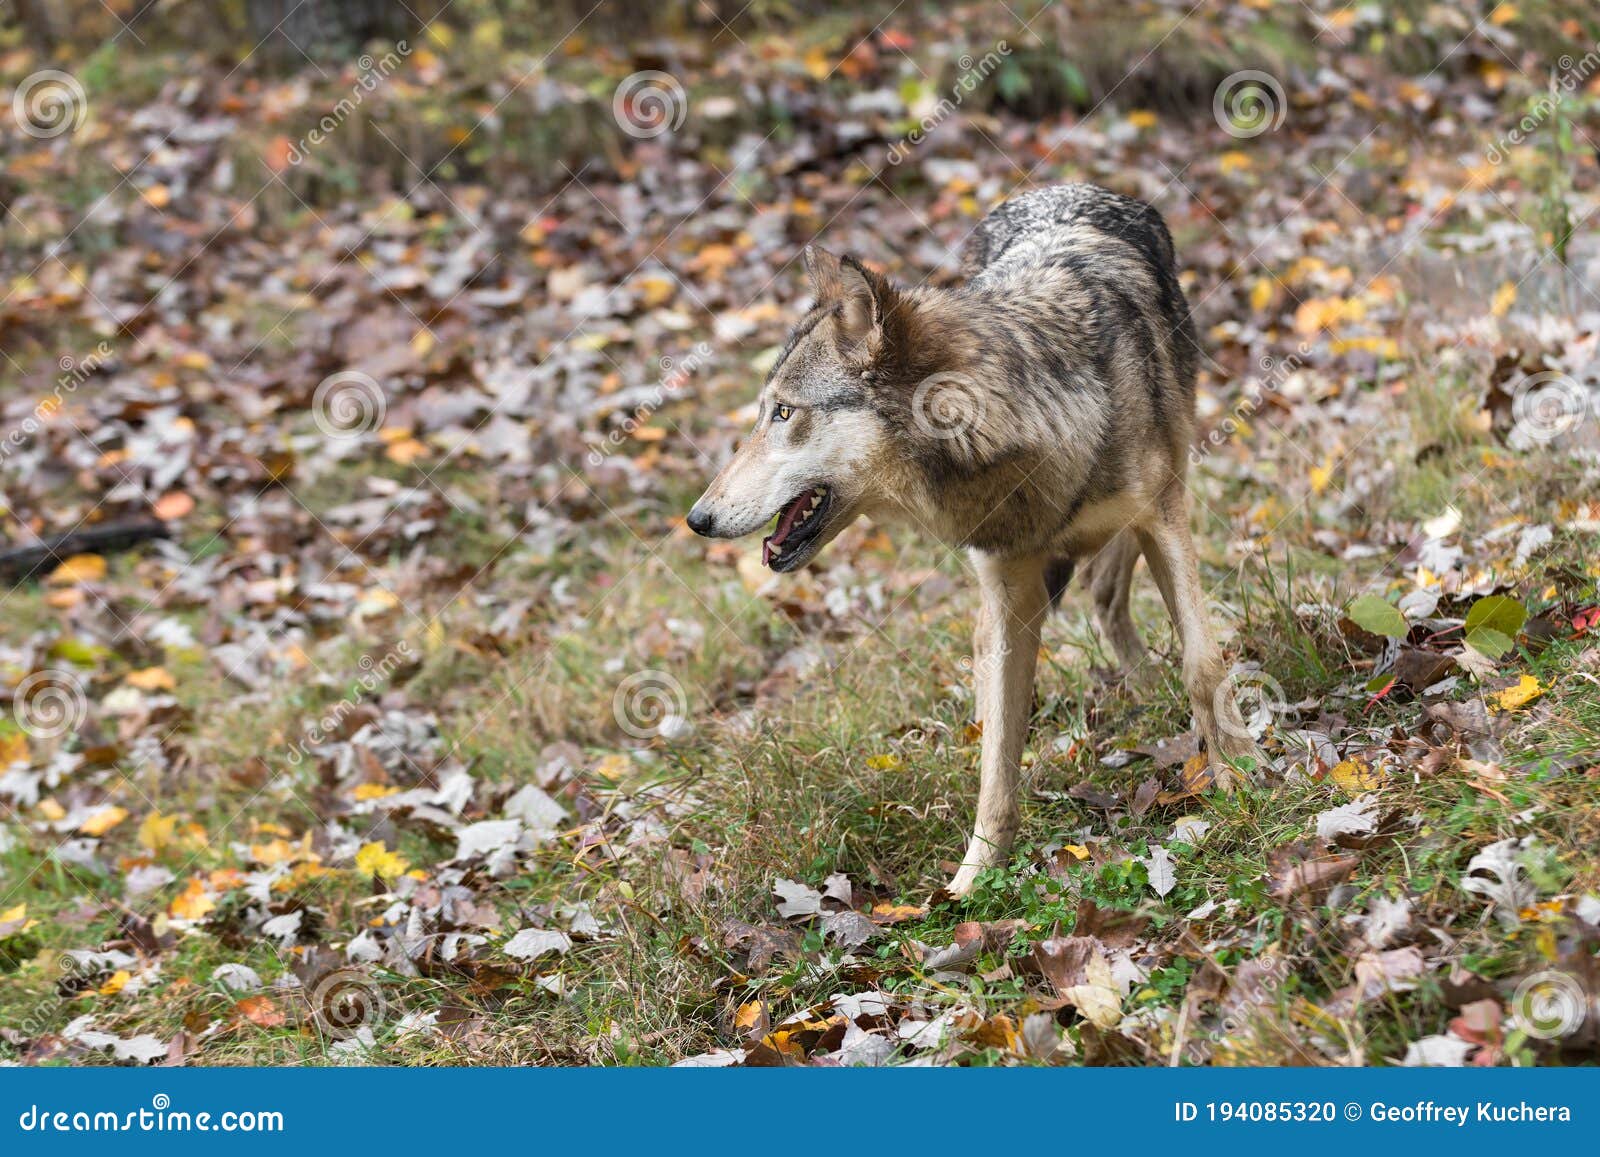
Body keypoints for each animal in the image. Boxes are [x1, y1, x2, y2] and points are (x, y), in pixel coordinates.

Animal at [686, 183, 1258, 896]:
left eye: (783, 413)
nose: (696, 519)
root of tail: (1062, 187)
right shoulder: (1007, 591)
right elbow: (999, 748)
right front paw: (975, 878)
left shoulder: (1162, 515)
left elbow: (1203, 663)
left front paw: (1244, 776)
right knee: (1087, 606)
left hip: (1175, 465)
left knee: (1114, 586)